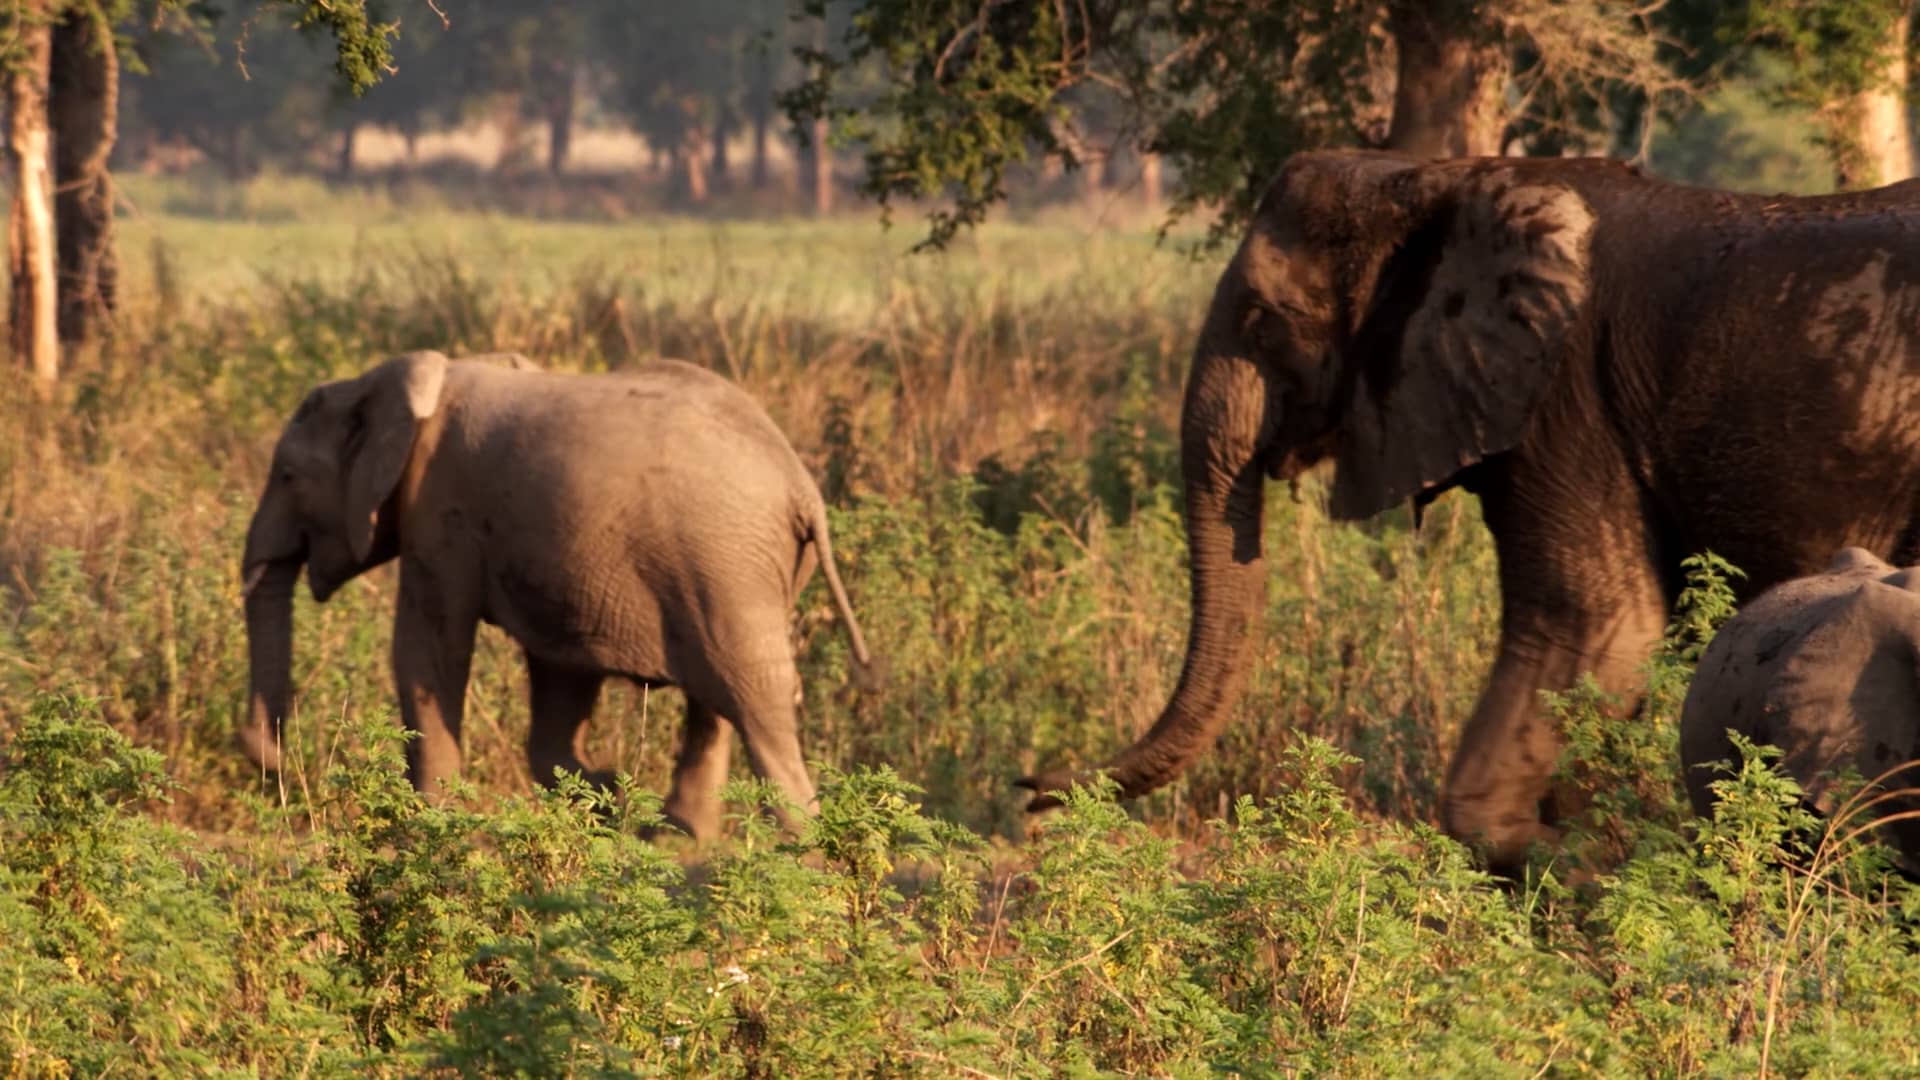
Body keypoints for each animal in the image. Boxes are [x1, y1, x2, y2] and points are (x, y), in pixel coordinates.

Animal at [237, 350, 874, 841]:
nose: (285, 766)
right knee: (717, 700)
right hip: (731, 567)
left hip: (727, 563)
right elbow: (559, 674)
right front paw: (608, 794)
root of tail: (800, 487)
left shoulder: (441, 513)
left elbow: (428, 650)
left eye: (288, 476)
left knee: (754, 696)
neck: (390, 382)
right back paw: (680, 835)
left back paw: (797, 848)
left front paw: (430, 823)